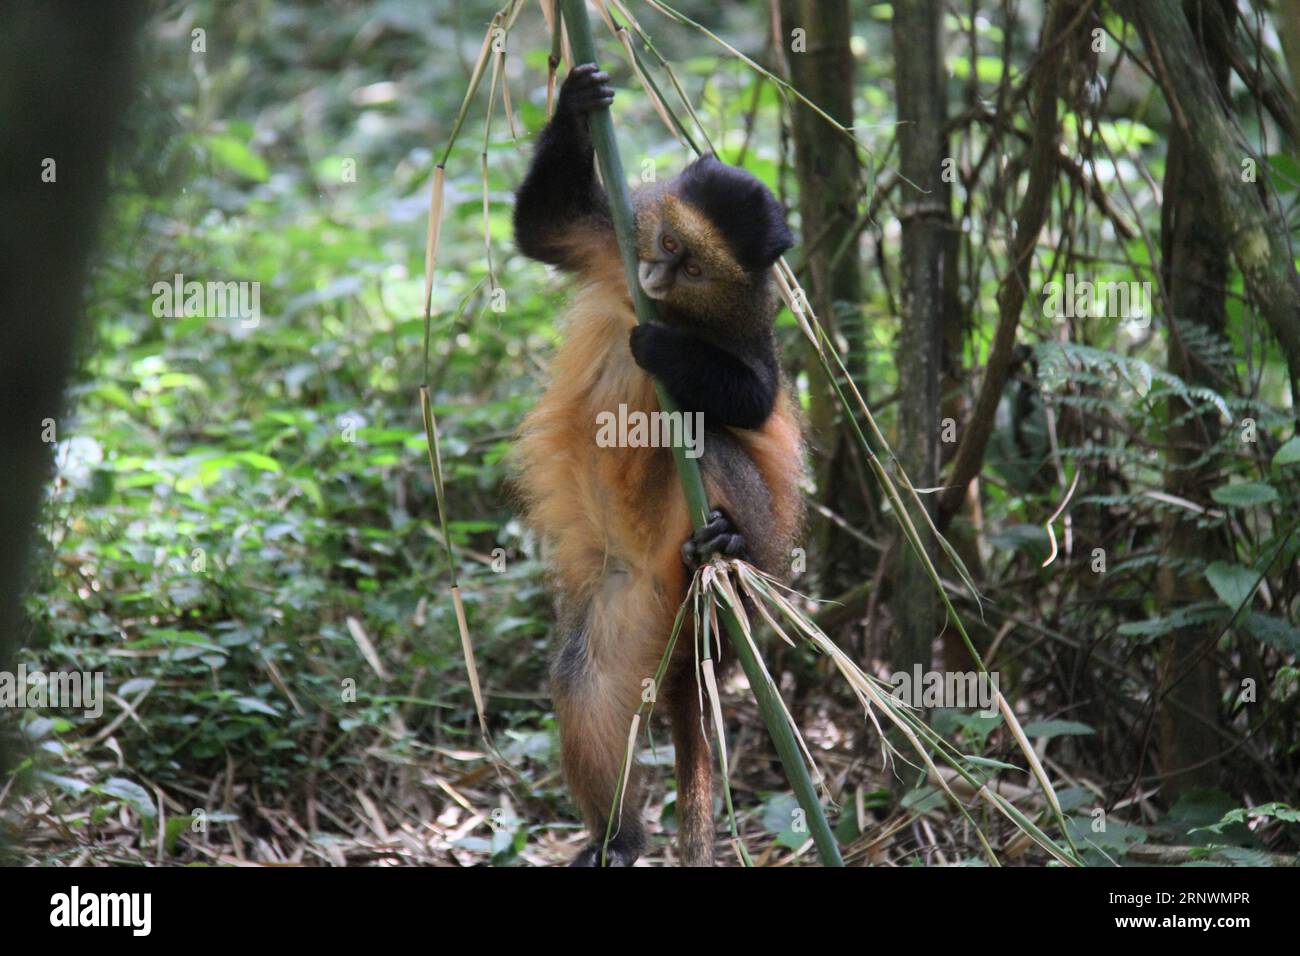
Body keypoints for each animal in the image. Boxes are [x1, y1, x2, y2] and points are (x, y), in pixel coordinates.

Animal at [512, 62, 804, 867]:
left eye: (693, 261)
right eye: (667, 239)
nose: (660, 273)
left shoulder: (746, 326)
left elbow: (754, 402)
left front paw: (663, 348)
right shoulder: (615, 237)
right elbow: (542, 228)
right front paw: (578, 99)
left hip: (733, 557)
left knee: (709, 438)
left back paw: (731, 544)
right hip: (629, 595)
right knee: (585, 677)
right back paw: (618, 838)